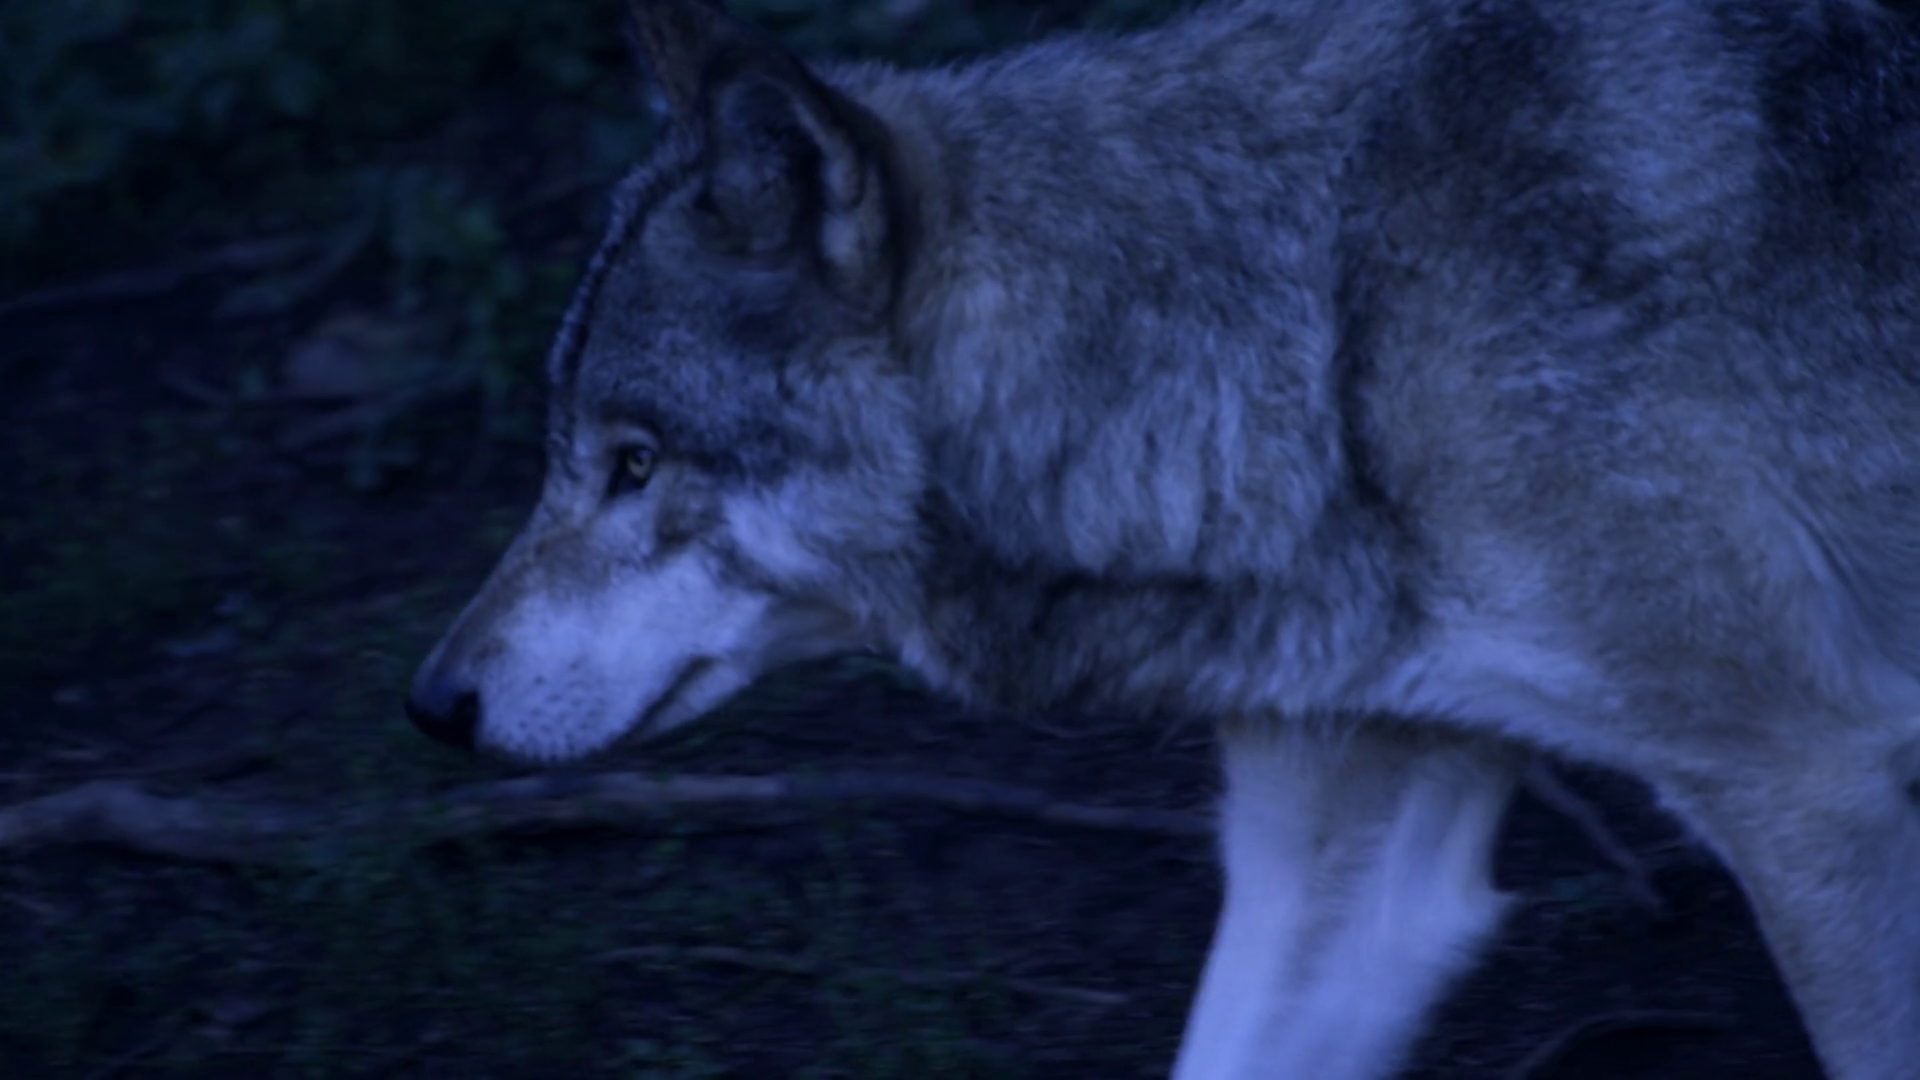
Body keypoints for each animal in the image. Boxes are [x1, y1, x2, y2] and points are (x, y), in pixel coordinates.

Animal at [405, 0, 1920, 1076]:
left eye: (634, 463)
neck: (1325, 327)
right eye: (566, 454)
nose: (432, 704)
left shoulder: (1806, 782)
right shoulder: (1351, 856)